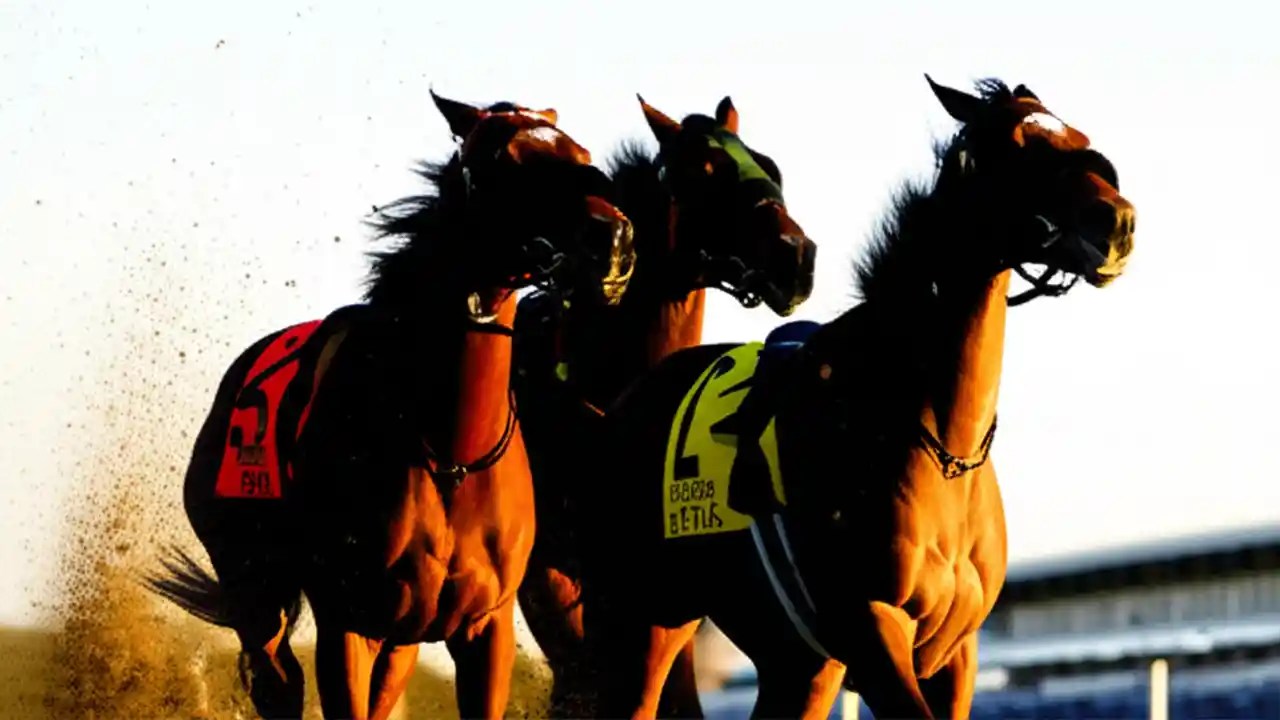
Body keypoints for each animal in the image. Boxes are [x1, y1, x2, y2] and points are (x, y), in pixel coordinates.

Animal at [144, 90, 637, 720]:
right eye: (501, 160)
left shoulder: (483, 628)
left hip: (400, 637)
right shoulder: (347, 623)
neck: (450, 451)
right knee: (276, 676)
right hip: (253, 588)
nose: (611, 242)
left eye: (582, 154)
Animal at [576, 75, 1136, 719]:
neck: (939, 439)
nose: (1118, 222)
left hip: (795, 663)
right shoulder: (871, 628)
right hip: (645, 624)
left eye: (1077, 136)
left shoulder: (953, 653)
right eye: (1019, 146)